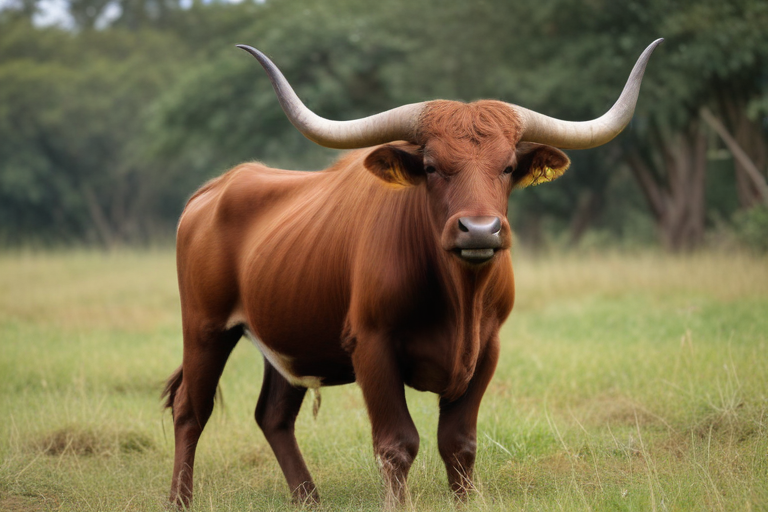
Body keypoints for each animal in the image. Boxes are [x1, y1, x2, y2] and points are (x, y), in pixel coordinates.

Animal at [163, 39, 662, 509]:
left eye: (506, 167)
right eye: (431, 166)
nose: (479, 229)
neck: (459, 300)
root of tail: (215, 189)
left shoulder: (488, 347)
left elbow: (459, 445)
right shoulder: (372, 345)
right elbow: (396, 444)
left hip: (287, 342)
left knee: (273, 416)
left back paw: (308, 499)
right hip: (204, 329)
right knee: (191, 409)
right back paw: (180, 500)